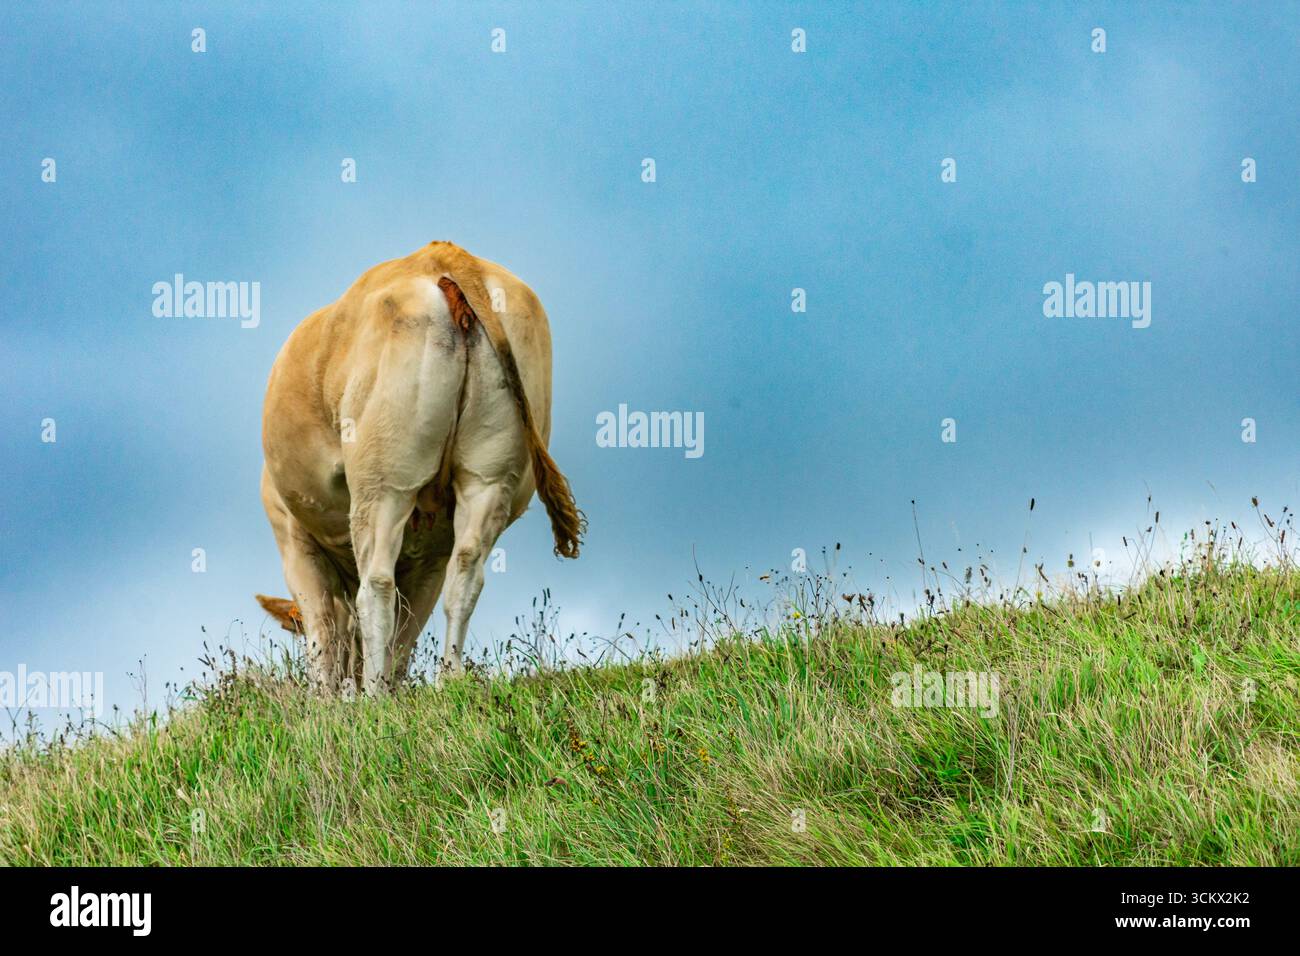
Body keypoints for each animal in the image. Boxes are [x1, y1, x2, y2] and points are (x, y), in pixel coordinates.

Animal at [255, 241, 583, 696]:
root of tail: (441, 256)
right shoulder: (428, 555)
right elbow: (404, 633)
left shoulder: (291, 536)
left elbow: (323, 628)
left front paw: (328, 700)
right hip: (490, 474)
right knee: (465, 575)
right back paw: (449, 682)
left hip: (382, 480)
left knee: (376, 585)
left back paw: (374, 695)